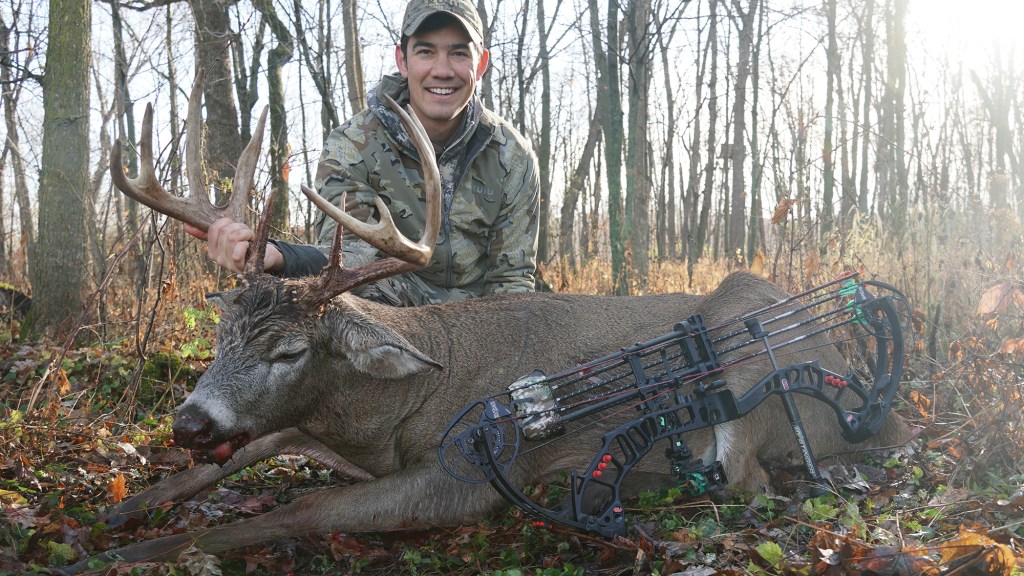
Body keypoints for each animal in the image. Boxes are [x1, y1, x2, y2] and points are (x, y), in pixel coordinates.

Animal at [64, 74, 910, 573]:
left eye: (289, 352)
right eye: (221, 337)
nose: (188, 422)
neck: (388, 415)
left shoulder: (460, 478)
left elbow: (295, 509)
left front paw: (104, 555)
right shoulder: (302, 430)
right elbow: (235, 457)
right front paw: (111, 510)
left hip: (745, 354)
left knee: (750, 479)